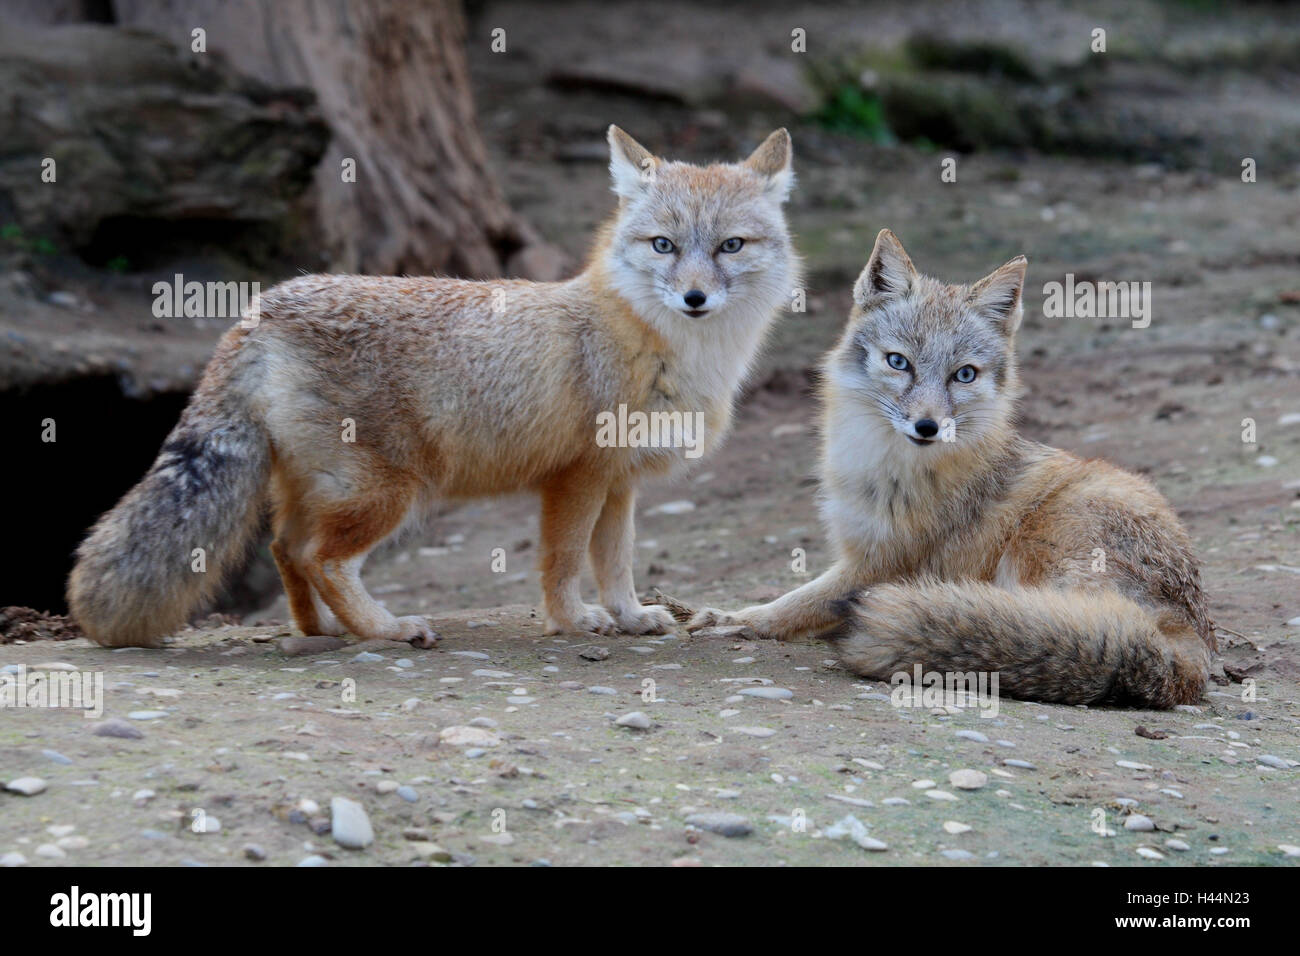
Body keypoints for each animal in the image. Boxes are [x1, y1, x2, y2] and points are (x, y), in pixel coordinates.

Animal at [68, 126, 798, 648]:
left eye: (731, 246)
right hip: (391, 492)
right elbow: (564, 562)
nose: (695, 299)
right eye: (663, 245)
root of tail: (263, 307)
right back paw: (385, 630)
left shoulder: (619, 483)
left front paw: (630, 615)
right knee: (320, 556)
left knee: (285, 549)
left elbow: (616, 563)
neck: (670, 352)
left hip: (325, 487)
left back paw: (324, 629)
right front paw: (571, 620)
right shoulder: (577, 478)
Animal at [689, 229, 1214, 708]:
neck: (886, 466)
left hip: (1043, 549)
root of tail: (1192, 649)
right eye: (898, 362)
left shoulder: (878, 564)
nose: (927, 426)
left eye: (963, 374)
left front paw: (733, 620)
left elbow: (794, 605)